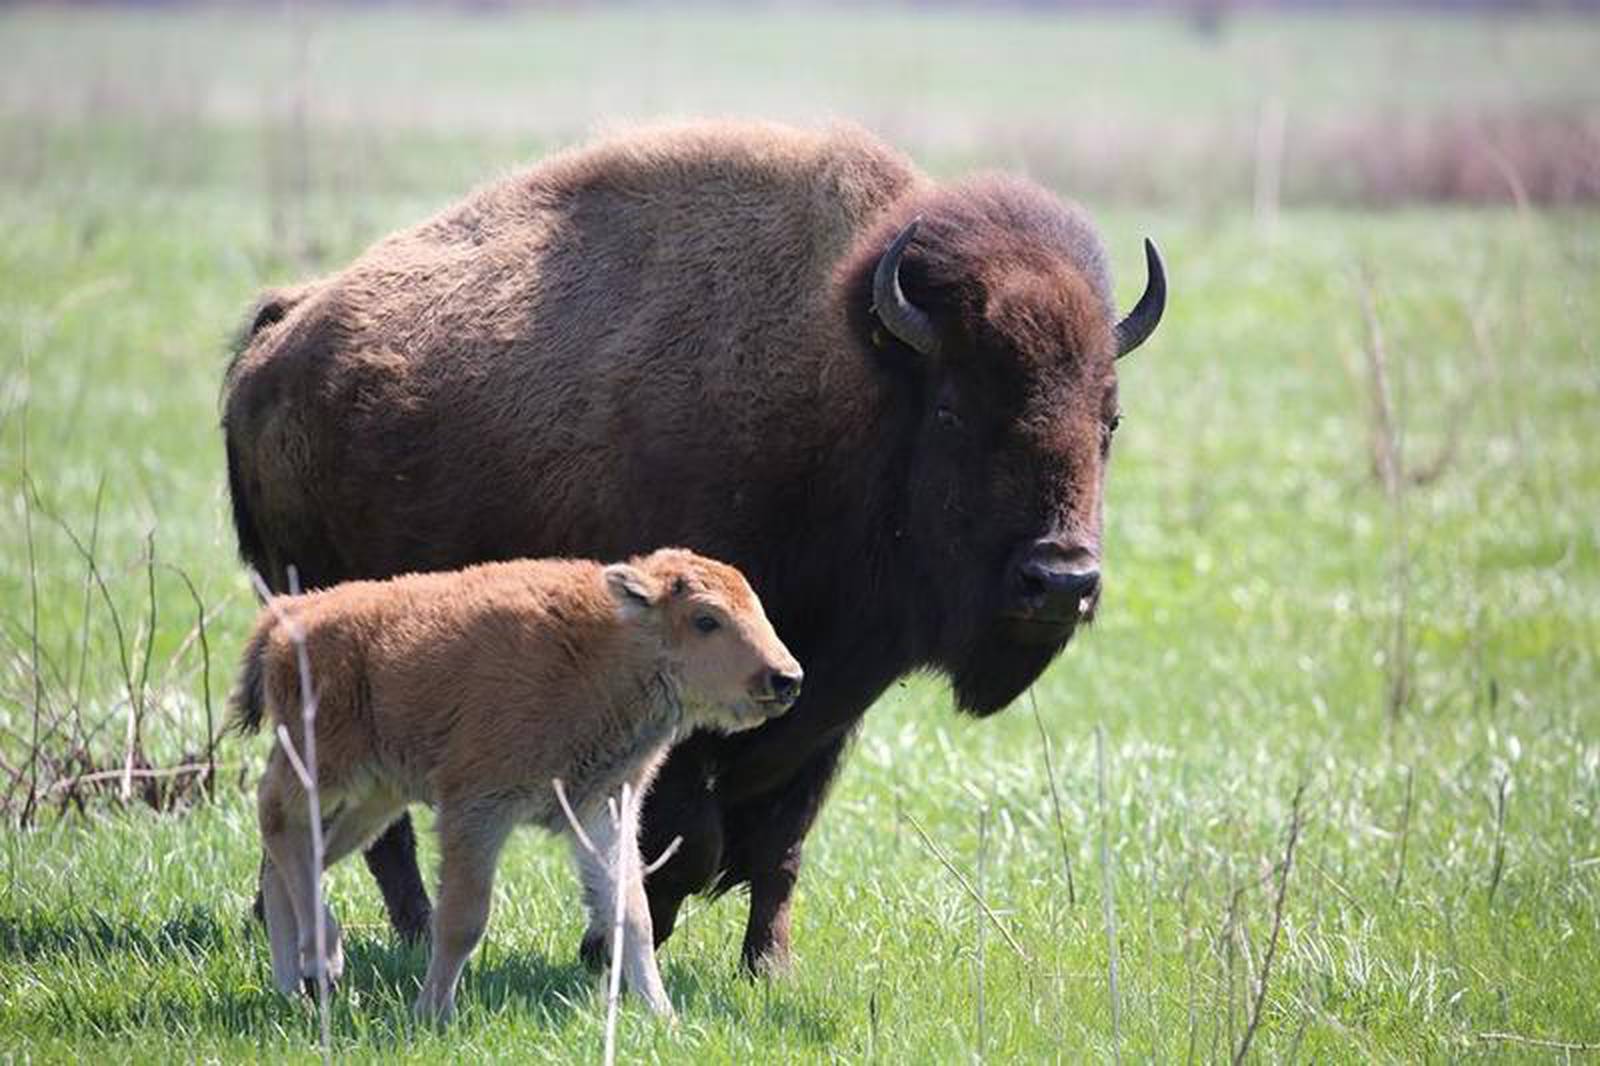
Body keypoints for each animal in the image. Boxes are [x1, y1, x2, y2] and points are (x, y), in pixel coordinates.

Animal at [222, 120, 1166, 974]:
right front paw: (609, 944)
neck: (853, 391)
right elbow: (691, 837)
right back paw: (404, 932)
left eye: (1109, 420)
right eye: (954, 411)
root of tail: (281, 331)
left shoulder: (826, 708)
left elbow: (781, 844)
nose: (1061, 580)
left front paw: (766, 967)